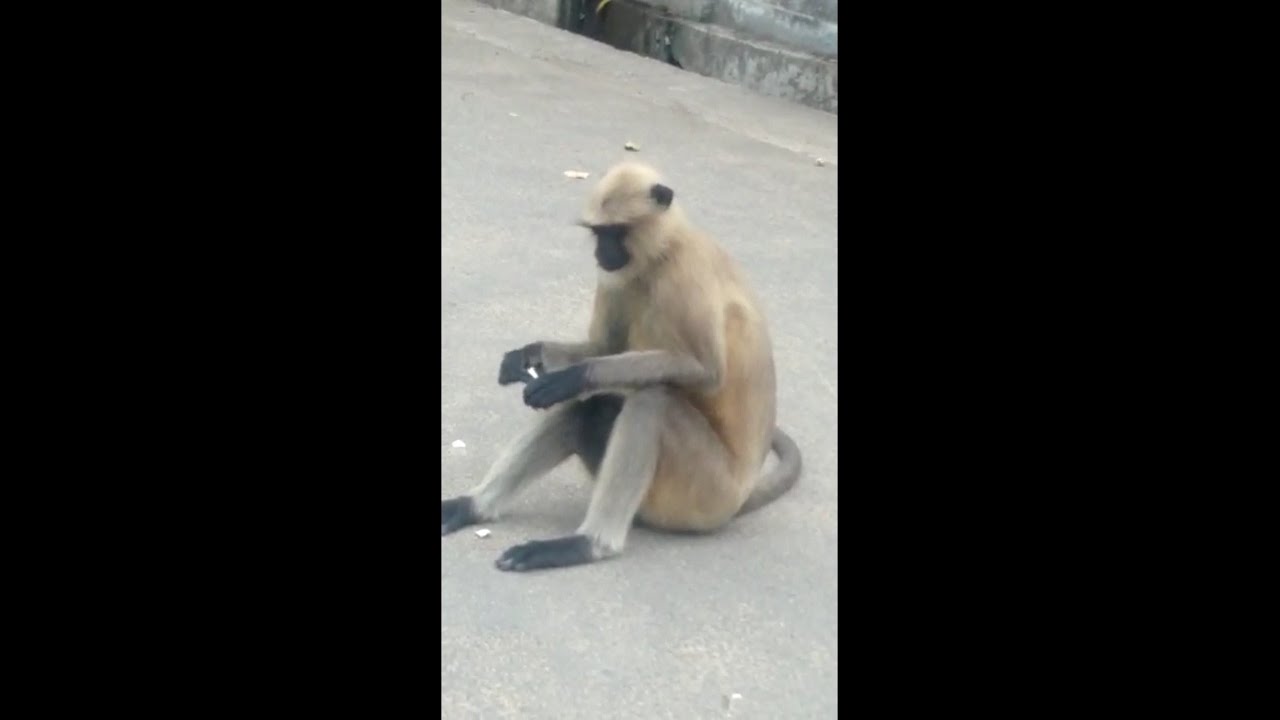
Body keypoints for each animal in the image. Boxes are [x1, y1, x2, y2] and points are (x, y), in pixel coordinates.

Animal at [441, 161, 802, 572]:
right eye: (598, 233)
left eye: (616, 232)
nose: (602, 251)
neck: (663, 252)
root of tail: (740, 496)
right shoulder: (619, 277)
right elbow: (605, 349)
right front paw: (526, 357)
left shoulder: (687, 273)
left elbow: (708, 373)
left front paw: (572, 377)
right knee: (590, 406)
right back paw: (473, 506)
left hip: (705, 493)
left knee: (652, 397)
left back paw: (589, 544)